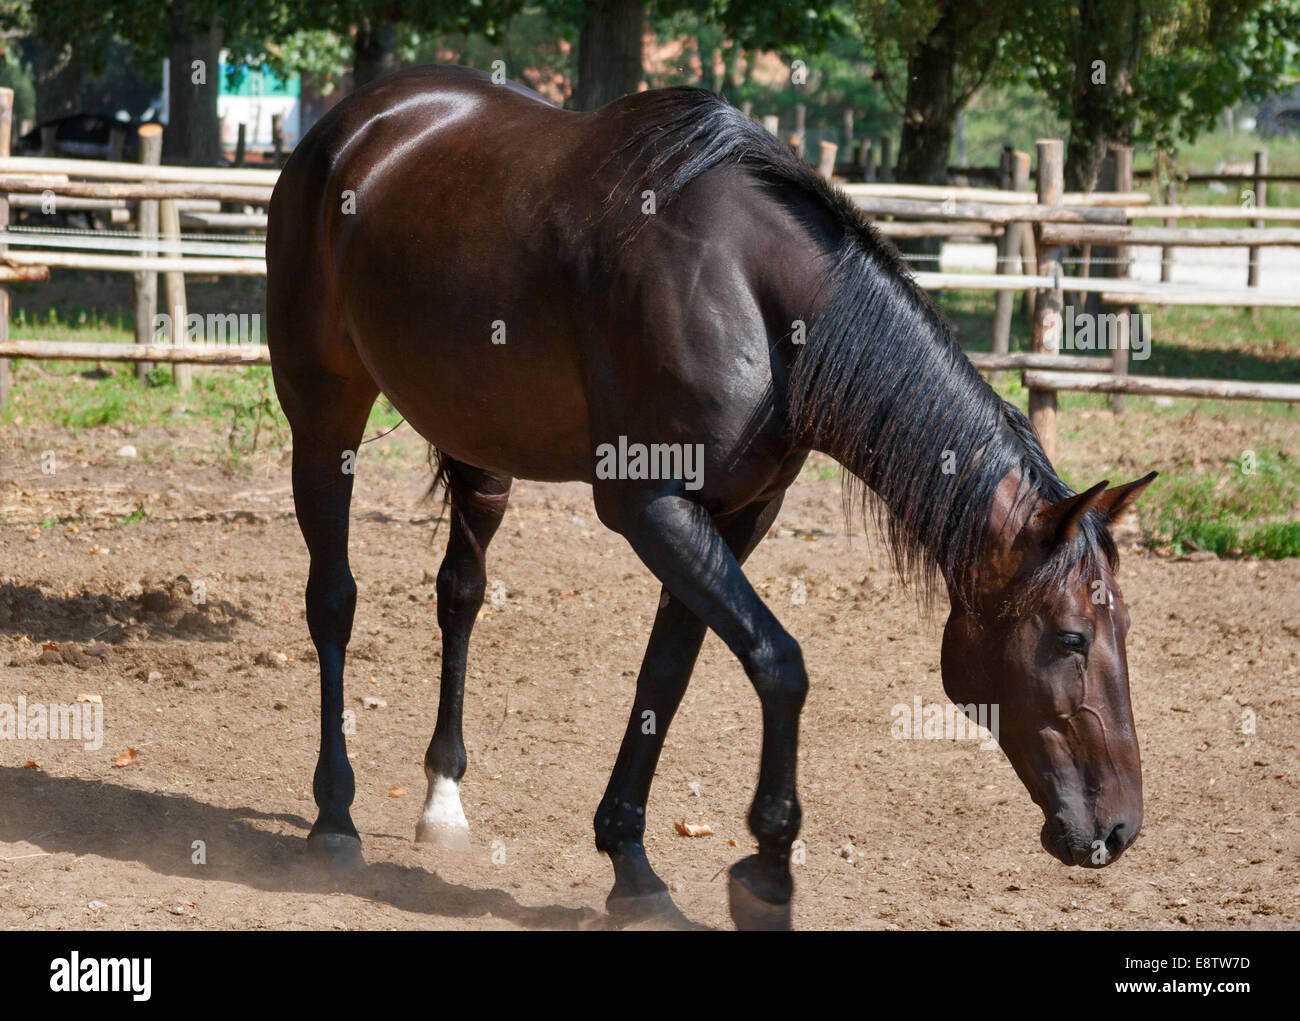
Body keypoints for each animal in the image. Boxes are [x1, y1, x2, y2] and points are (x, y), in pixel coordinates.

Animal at [266, 64, 1157, 930]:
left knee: (460, 593)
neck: (753, 299)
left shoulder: (733, 517)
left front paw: (631, 866)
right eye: (1072, 637)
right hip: (324, 415)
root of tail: (356, 123)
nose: (1117, 829)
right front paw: (766, 870)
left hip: (480, 444)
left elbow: (666, 675)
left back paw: (442, 799)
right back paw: (334, 818)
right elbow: (779, 663)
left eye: (1122, 628)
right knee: (333, 599)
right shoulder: (649, 507)